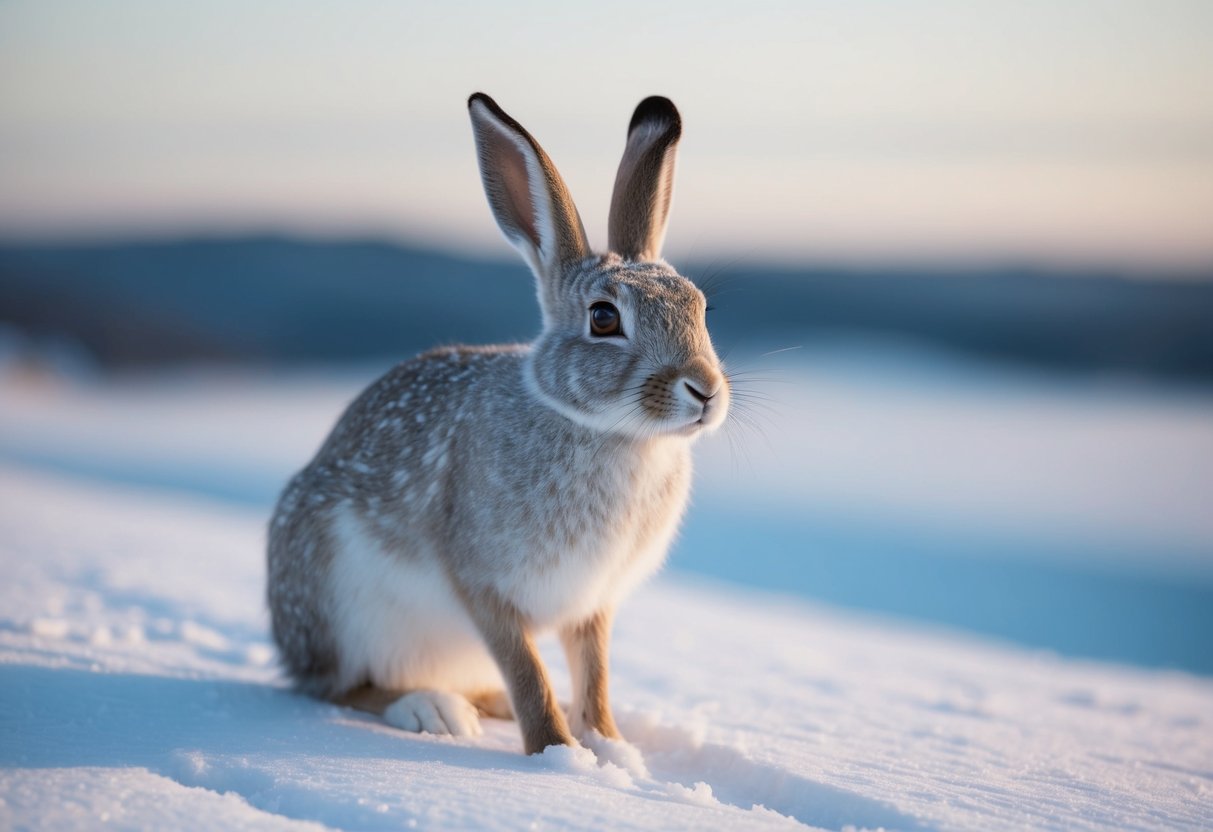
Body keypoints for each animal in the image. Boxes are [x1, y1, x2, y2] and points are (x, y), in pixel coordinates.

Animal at [267, 92, 729, 755]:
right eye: (604, 318)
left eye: (700, 306)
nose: (705, 391)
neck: (611, 433)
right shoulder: (484, 589)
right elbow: (527, 670)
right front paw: (557, 754)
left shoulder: (593, 605)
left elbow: (594, 675)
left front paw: (611, 748)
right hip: (341, 604)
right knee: (341, 687)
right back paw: (430, 709)